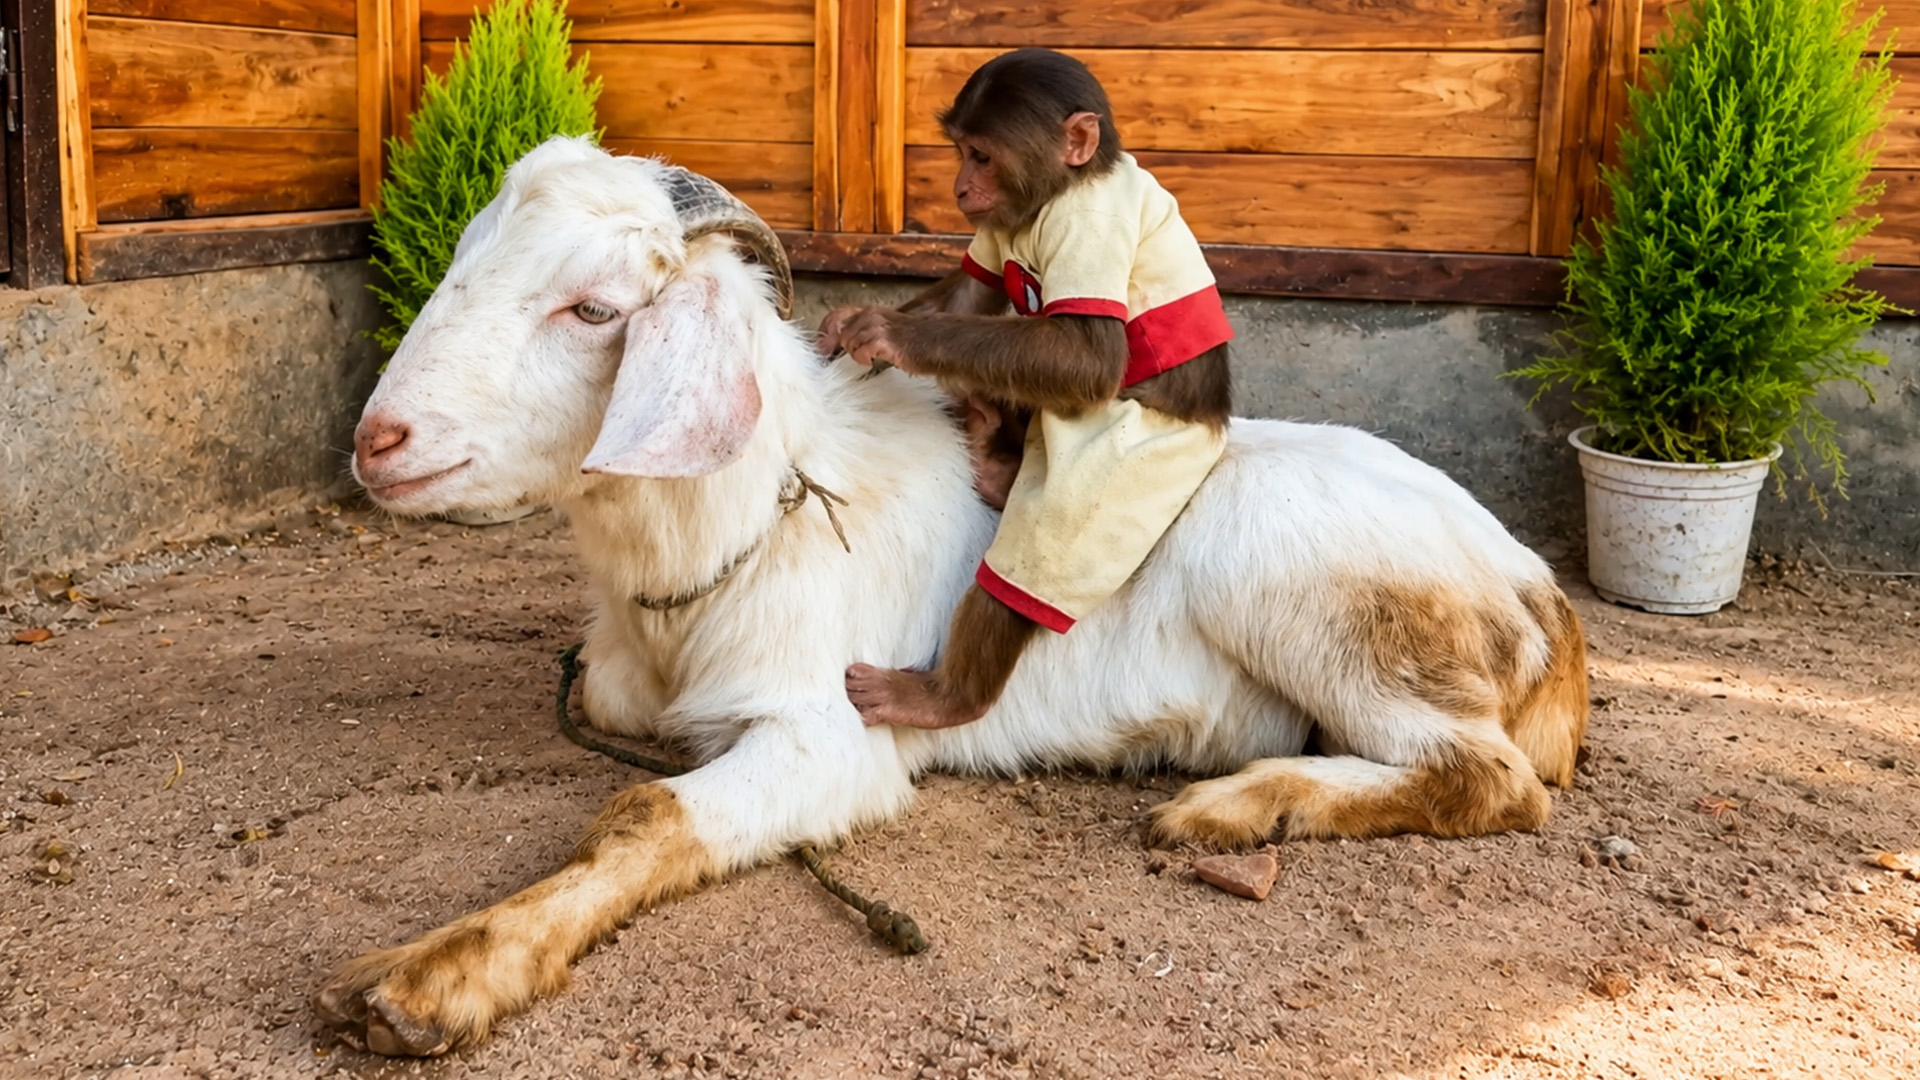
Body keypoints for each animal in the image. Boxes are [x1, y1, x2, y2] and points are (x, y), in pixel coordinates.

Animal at [319, 136, 1588, 1056]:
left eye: (592, 309)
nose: (379, 442)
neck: (750, 523)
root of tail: (1542, 595)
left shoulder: (831, 735)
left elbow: (645, 814)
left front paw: (429, 978)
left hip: (1317, 593)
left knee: (1490, 779)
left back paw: (1232, 807)